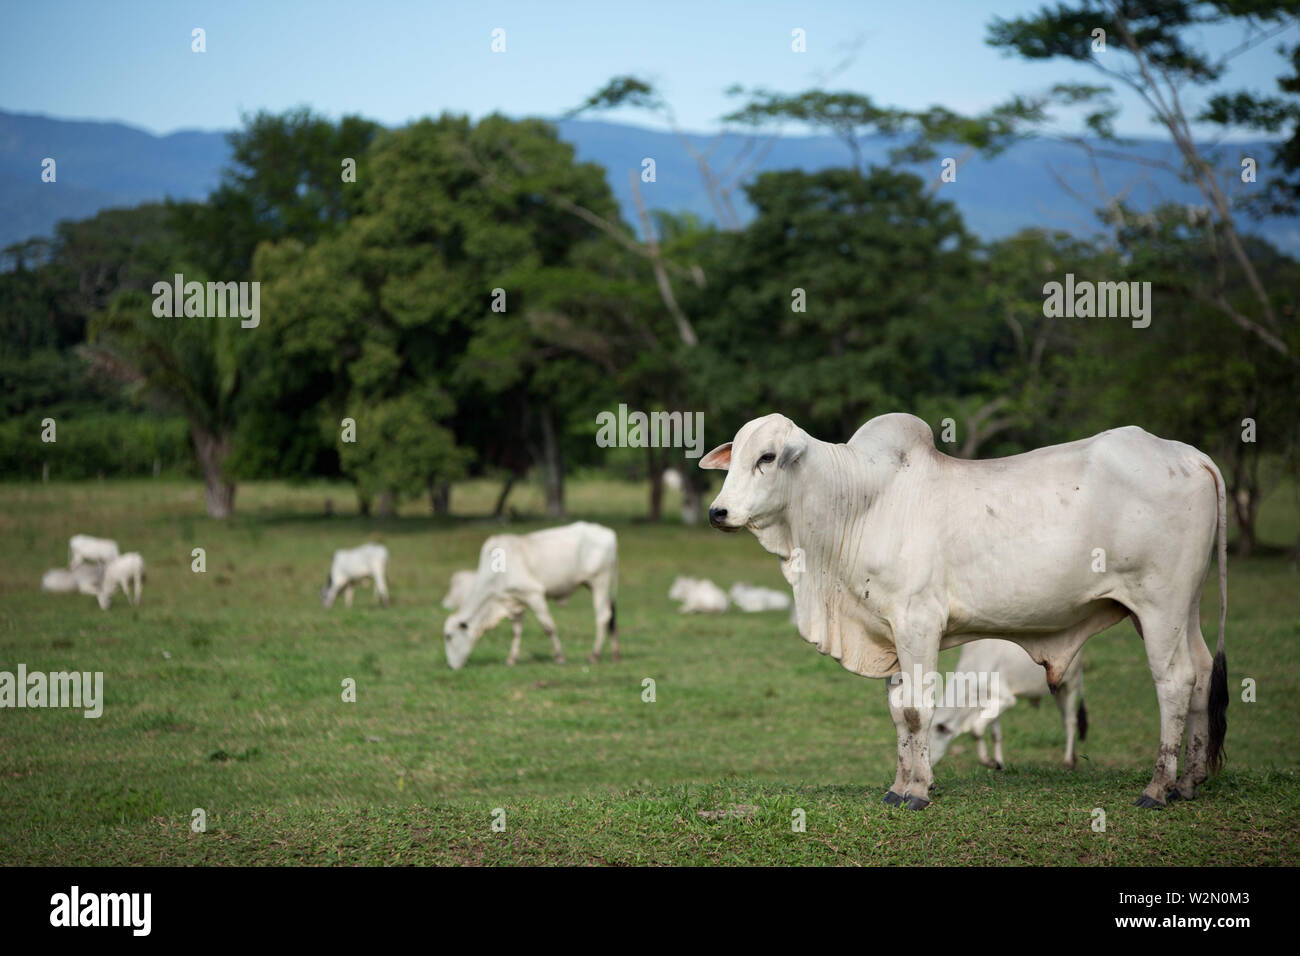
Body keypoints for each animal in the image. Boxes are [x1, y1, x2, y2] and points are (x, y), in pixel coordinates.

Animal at [443, 522, 618, 669]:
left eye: (449, 636)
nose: (451, 666)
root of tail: (608, 532)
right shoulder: (515, 600)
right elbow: (516, 631)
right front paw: (511, 659)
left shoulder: (534, 594)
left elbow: (548, 627)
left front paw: (559, 656)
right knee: (611, 616)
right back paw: (615, 653)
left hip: (600, 582)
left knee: (603, 616)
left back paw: (595, 655)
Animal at [929, 639, 1087, 770]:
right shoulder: (991, 702)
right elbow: (995, 734)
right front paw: (998, 763)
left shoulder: (1006, 699)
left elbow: (976, 729)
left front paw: (988, 761)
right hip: (1059, 691)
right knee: (1065, 720)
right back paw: (1073, 757)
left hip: (1070, 685)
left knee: (1071, 721)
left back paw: (1068, 761)